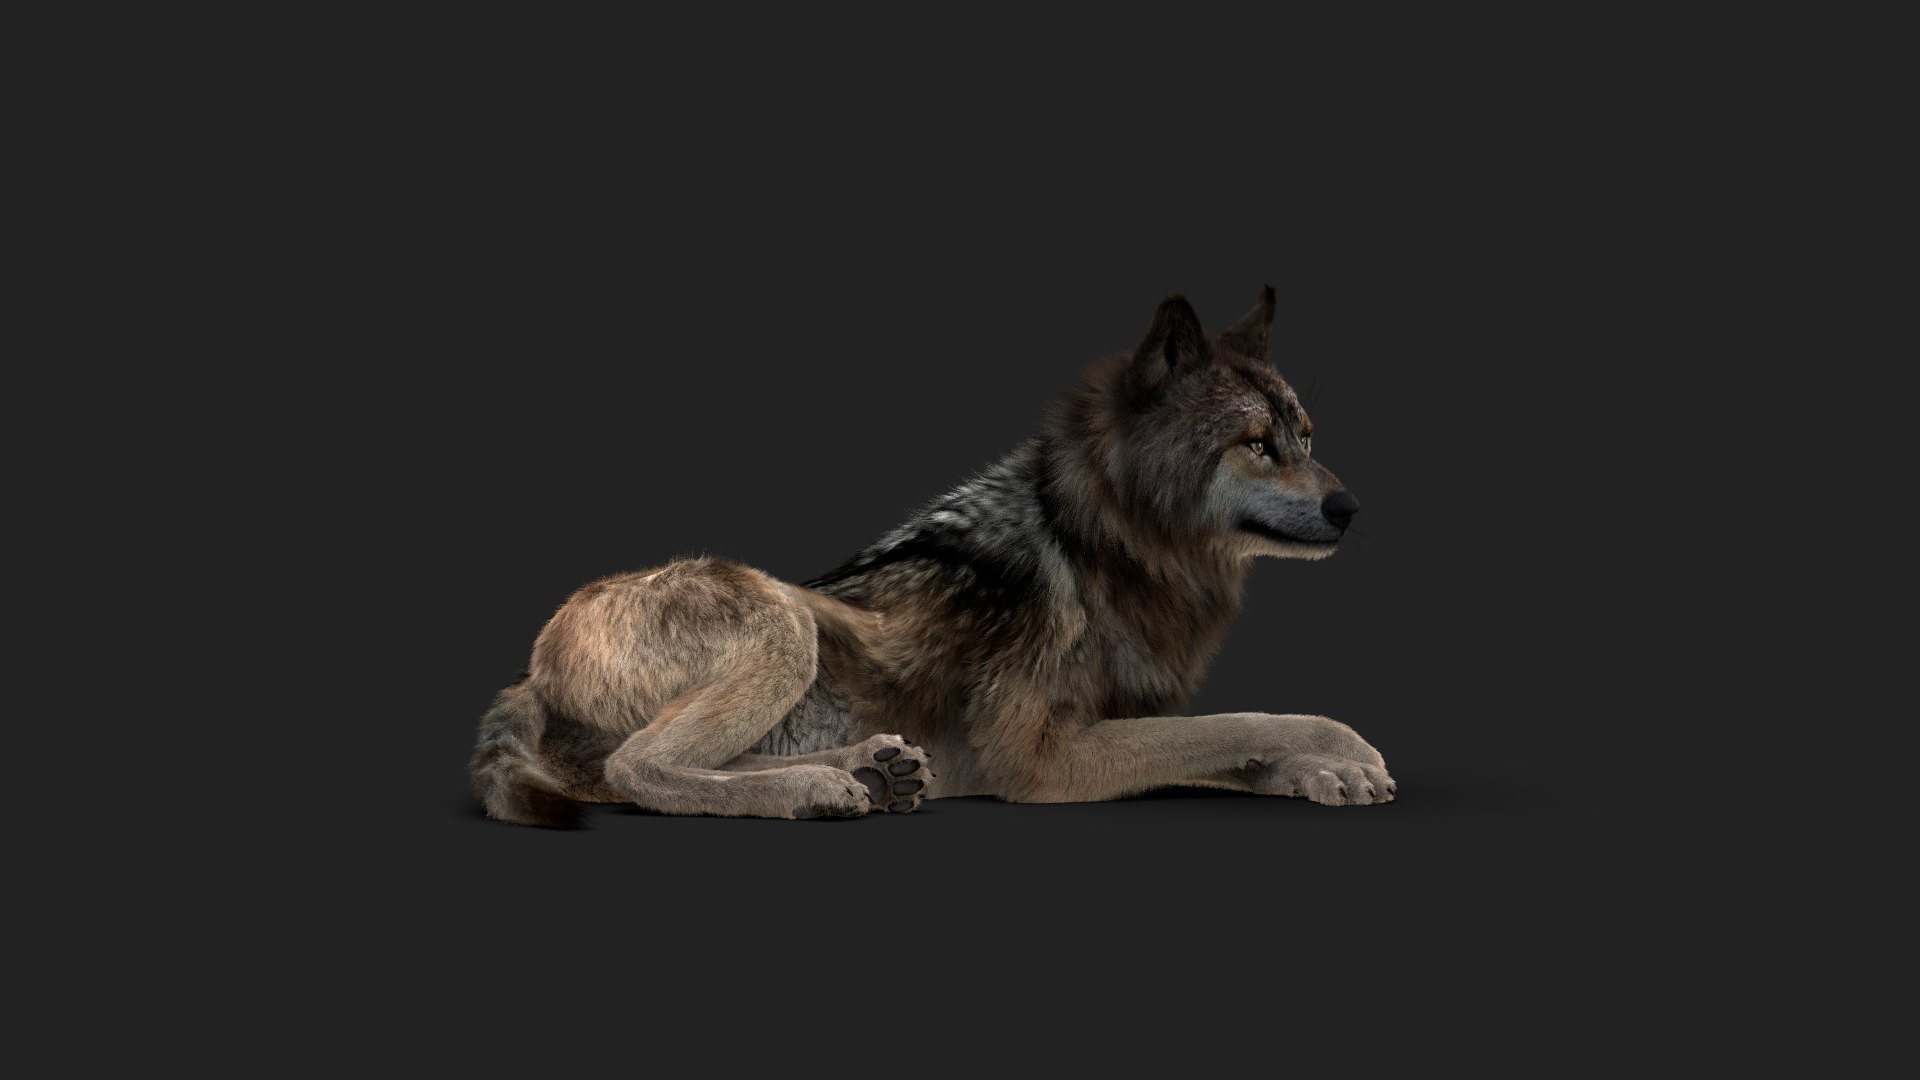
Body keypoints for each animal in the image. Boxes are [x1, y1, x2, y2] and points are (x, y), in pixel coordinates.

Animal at [472, 287, 1394, 825]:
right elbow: (1248, 723)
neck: (1105, 544)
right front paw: (1344, 748)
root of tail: (532, 664)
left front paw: (1323, 773)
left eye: (1307, 437)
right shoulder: (1043, 758)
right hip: (782, 626)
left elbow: (1231, 748)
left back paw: (874, 772)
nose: (1350, 507)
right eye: (1256, 443)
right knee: (638, 768)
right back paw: (820, 790)